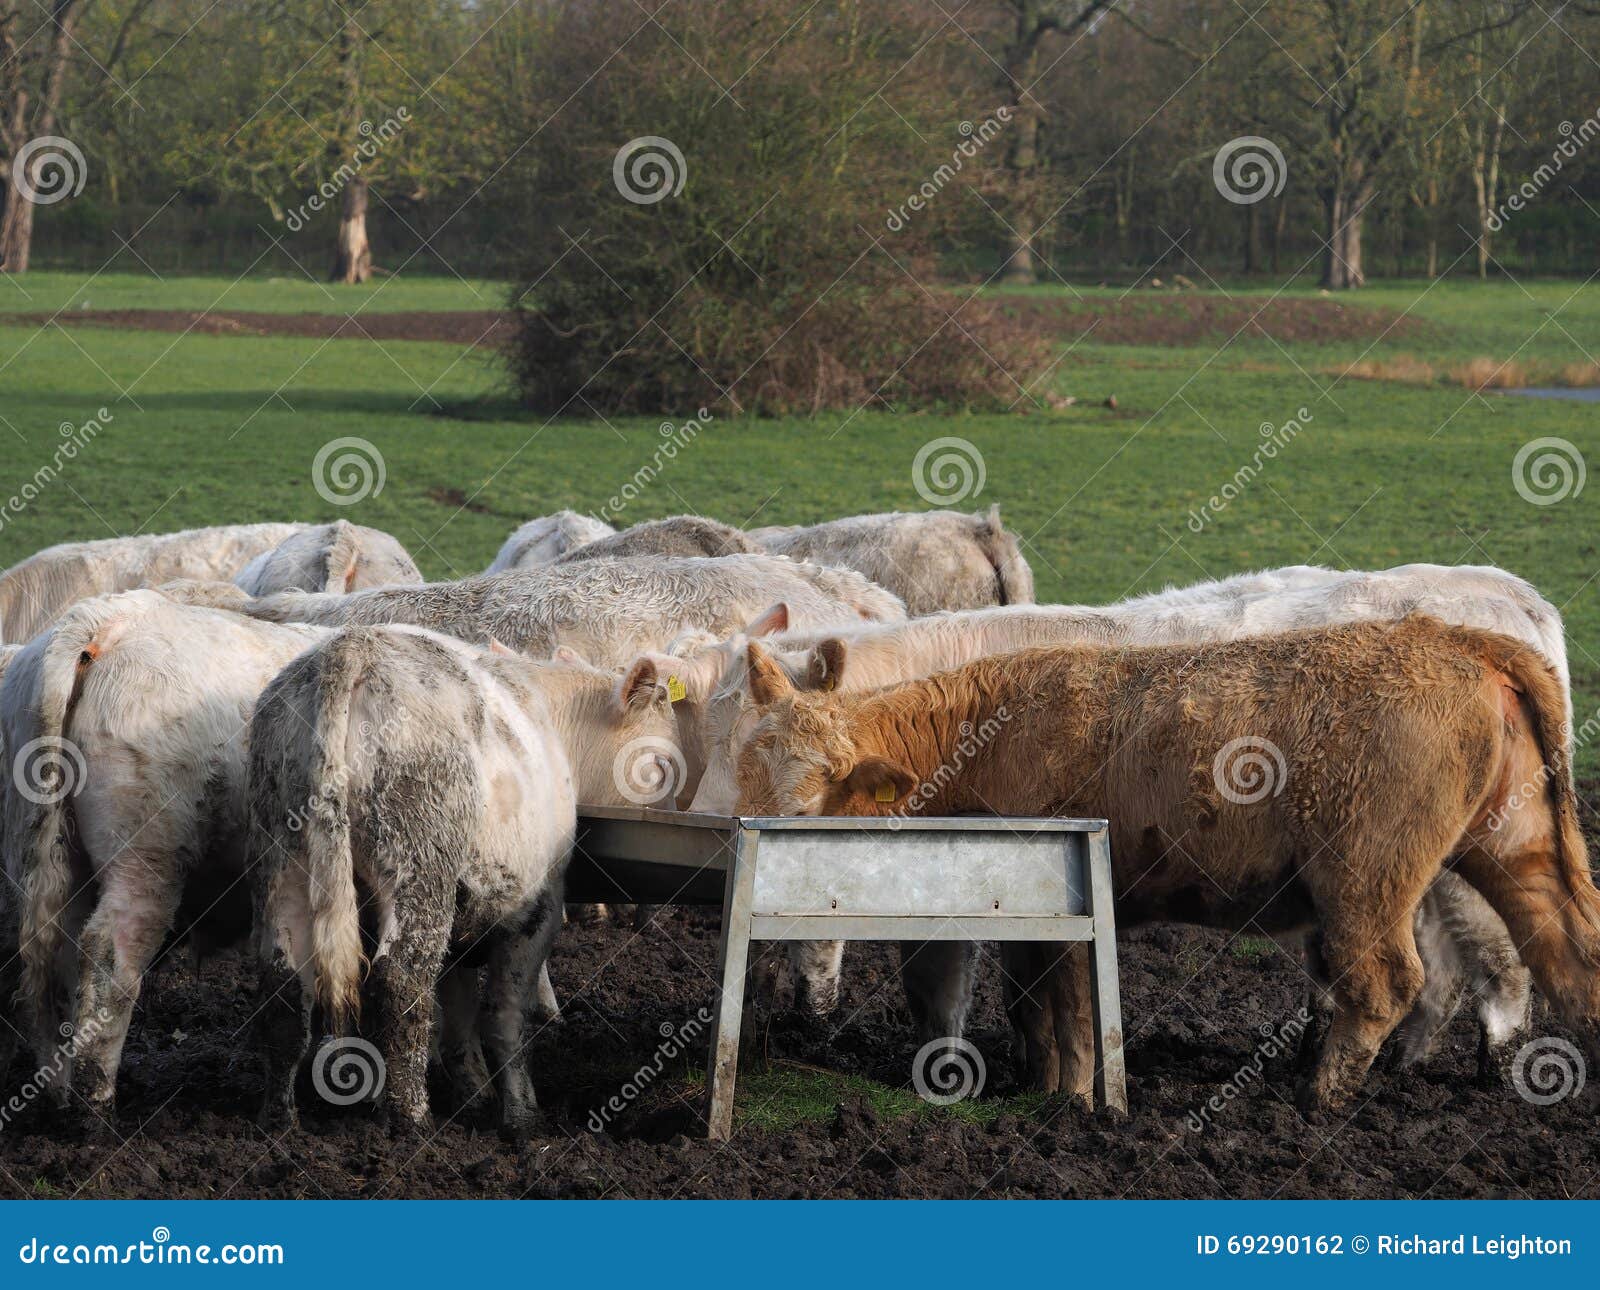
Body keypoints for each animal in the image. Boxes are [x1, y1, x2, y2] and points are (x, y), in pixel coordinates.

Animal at [246, 626, 681, 1138]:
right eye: (664, 763)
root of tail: (354, 648)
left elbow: (458, 1013)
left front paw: (474, 1097)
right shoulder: (539, 908)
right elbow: (504, 1016)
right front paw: (521, 1114)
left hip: (283, 857)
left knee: (284, 984)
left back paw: (280, 1117)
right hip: (418, 864)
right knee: (401, 979)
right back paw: (411, 1116)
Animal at [674, 563, 1558, 1070]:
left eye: (790, 794)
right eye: (713, 731)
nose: (706, 819)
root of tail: (1504, 598)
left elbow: (941, 977)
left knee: (1500, 958)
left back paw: (1496, 1064)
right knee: (1435, 967)